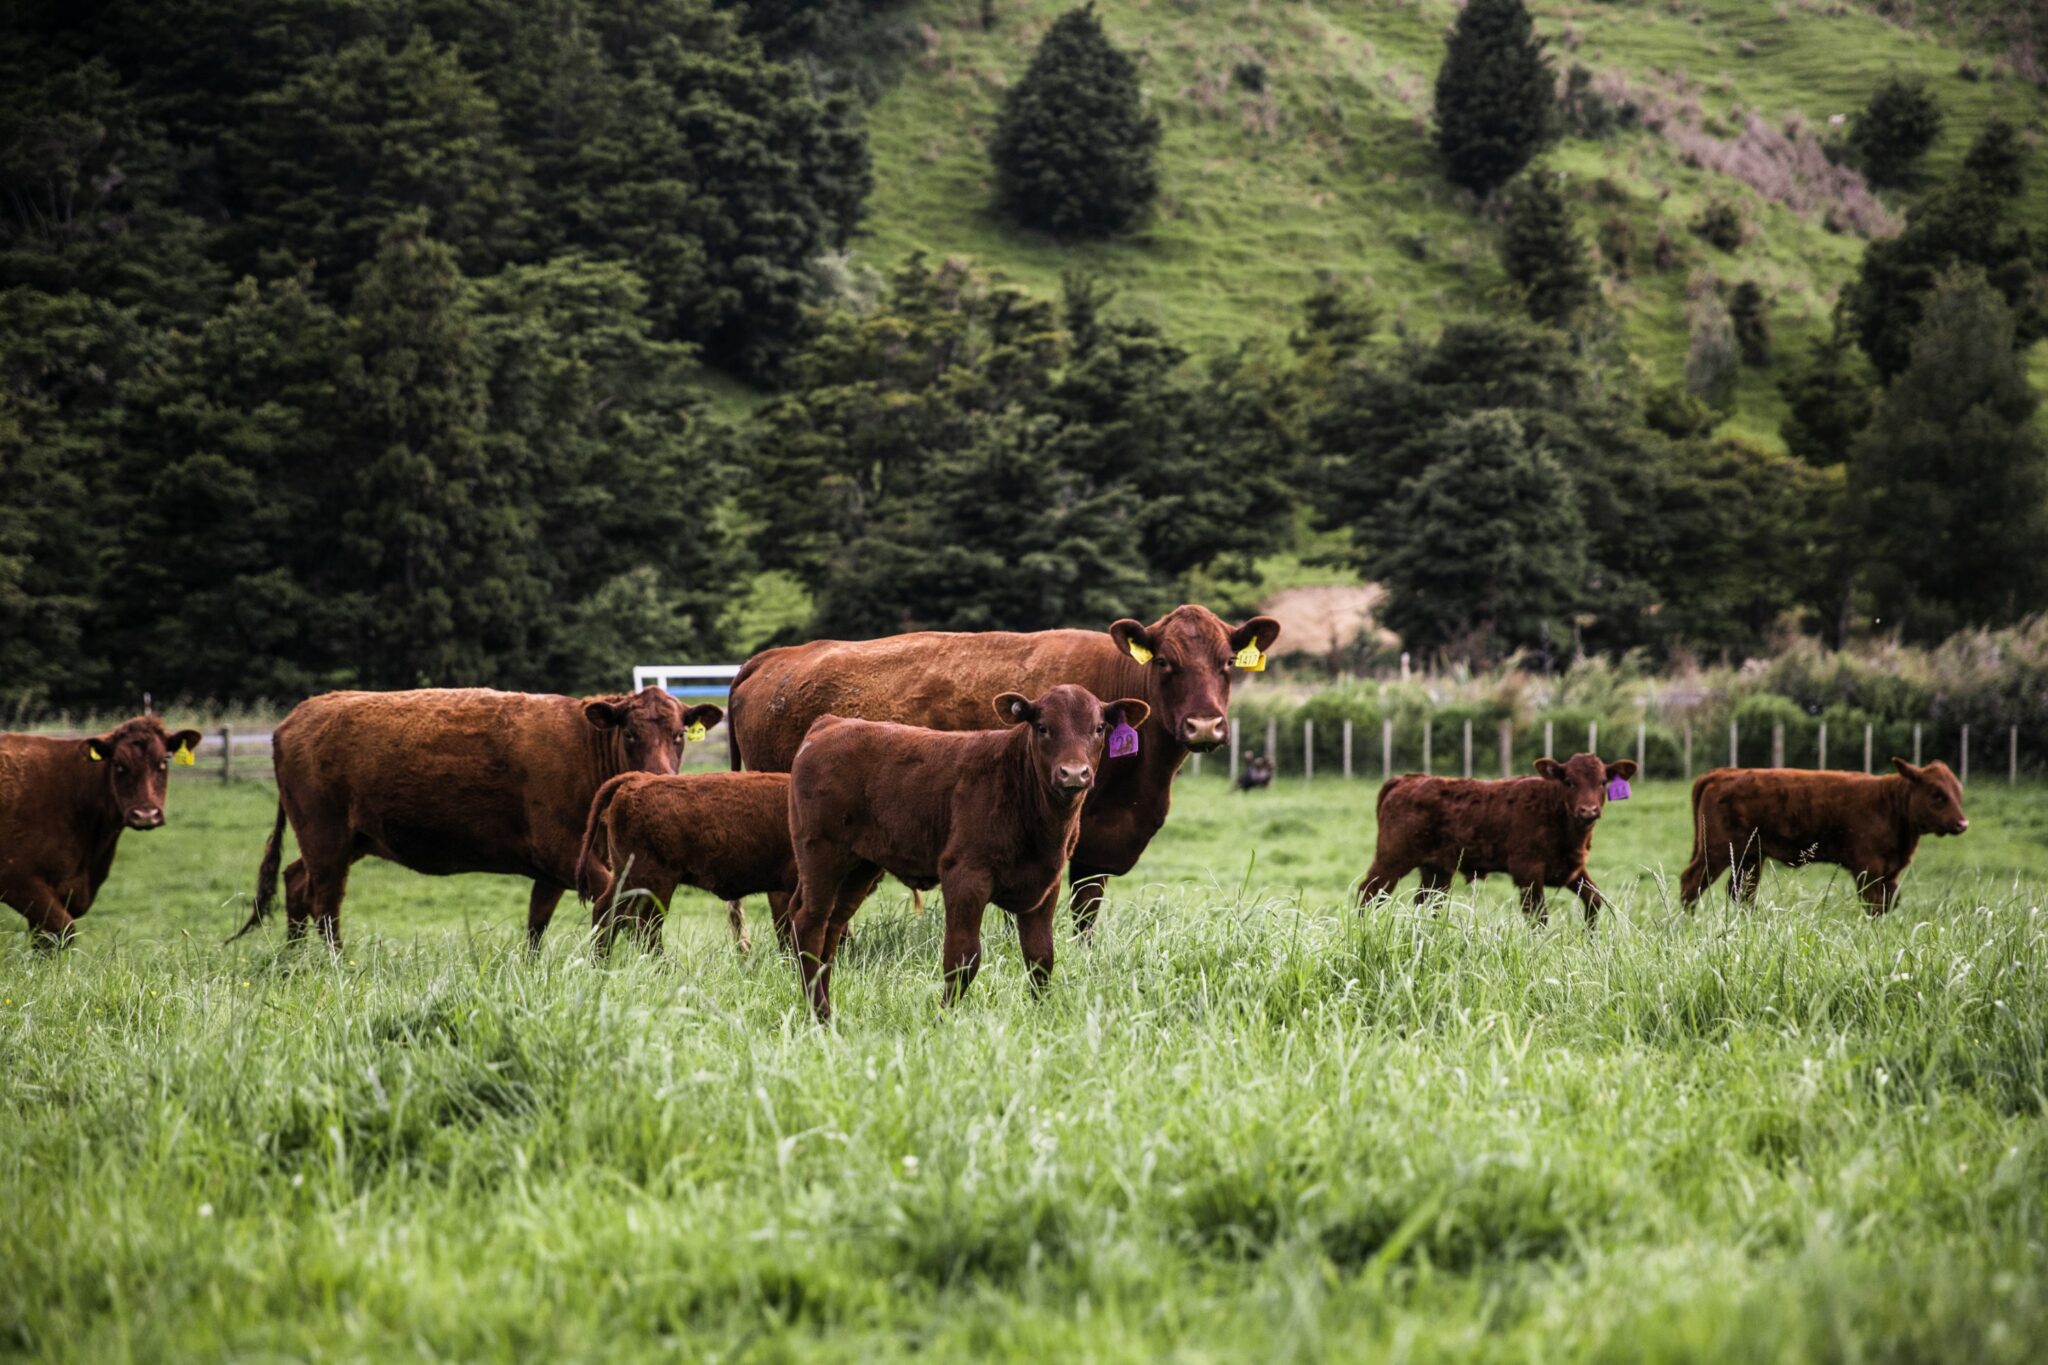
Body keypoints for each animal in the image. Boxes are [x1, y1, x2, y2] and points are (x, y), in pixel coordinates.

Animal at [231, 687, 722, 949]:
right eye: (631, 733)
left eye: (679, 734)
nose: (659, 780)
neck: (586, 750)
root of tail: (300, 714)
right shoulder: (566, 853)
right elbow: (617, 905)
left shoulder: (555, 869)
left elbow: (537, 925)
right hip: (325, 837)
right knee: (326, 904)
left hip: (344, 840)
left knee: (297, 882)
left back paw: (295, 960)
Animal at [726, 604, 1279, 941]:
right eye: (1165, 661)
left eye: (1228, 662)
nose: (1205, 724)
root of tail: (780, 656)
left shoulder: (1095, 847)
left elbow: (1085, 916)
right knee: (787, 899)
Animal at [786, 686, 1150, 1022]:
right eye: (1042, 727)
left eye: (1099, 728)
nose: (1074, 773)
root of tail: (830, 724)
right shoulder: (965, 873)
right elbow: (963, 957)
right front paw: (944, 1020)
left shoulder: (1047, 881)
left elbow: (1041, 956)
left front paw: (1041, 1017)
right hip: (820, 851)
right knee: (810, 922)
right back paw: (818, 1015)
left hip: (859, 866)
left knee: (832, 926)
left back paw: (828, 1011)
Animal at [1359, 752, 1639, 925]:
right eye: (1569, 781)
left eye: (1602, 782)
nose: (1588, 810)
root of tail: (1406, 779)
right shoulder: (1528, 872)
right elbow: (1538, 918)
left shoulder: (1572, 870)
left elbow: (1595, 902)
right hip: (1392, 859)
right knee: (1370, 892)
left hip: (1436, 870)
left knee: (1426, 904)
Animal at [1679, 759, 1968, 913]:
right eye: (1937, 794)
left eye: (1958, 792)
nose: (1962, 823)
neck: (1888, 802)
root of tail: (1723, 773)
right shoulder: (1869, 870)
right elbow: (1873, 905)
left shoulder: (1889, 873)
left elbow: (1889, 903)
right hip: (1716, 852)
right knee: (1692, 883)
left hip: (1749, 857)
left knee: (1741, 893)